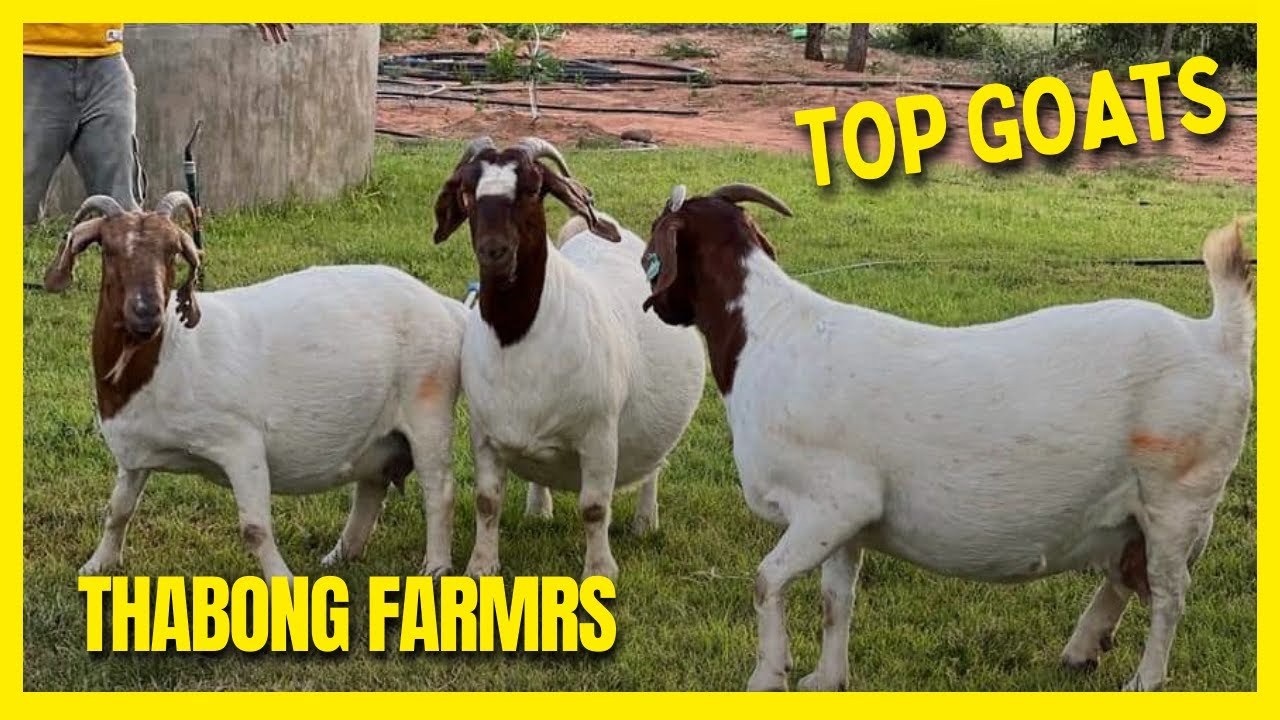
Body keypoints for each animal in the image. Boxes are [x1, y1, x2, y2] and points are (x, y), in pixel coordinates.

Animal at [45, 192, 467, 582]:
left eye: (172, 252)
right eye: (109, 249)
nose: (146, 311)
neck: (170, 354)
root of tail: (446, 307)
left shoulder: (239, 444)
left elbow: (255, 528)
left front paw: (283, 582)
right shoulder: (135, 455)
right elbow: (117, 510)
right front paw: (96, 566)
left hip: (427, 404)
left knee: (439, 490)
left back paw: (435, 568)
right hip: (378, 433)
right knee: (371, 488)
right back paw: (339, 556)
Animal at [431, 137, 707, 581]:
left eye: (532, 188)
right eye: (468, 193)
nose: (494, 251)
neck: (518, 338)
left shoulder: (599, 435)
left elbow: (594, 509)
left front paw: (599, 573)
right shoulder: (484, 434)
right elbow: (487, 501)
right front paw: (481, 567)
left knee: (654, 465)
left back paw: (645, 523)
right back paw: (538, 509)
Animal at [639, 183, 1255, 691]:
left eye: (654, 240)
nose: (660, 309)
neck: (765, 331)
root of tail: (1216, 337)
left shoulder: (833, 504)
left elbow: (767, 581)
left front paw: (768, 678)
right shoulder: (846, 523)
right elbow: (837, 600)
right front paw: (826, 680)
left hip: (1178, 497)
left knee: (1169, 594)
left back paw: (1143, 682)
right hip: (1134, 509)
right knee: (1128, 574)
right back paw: (1084, 648)